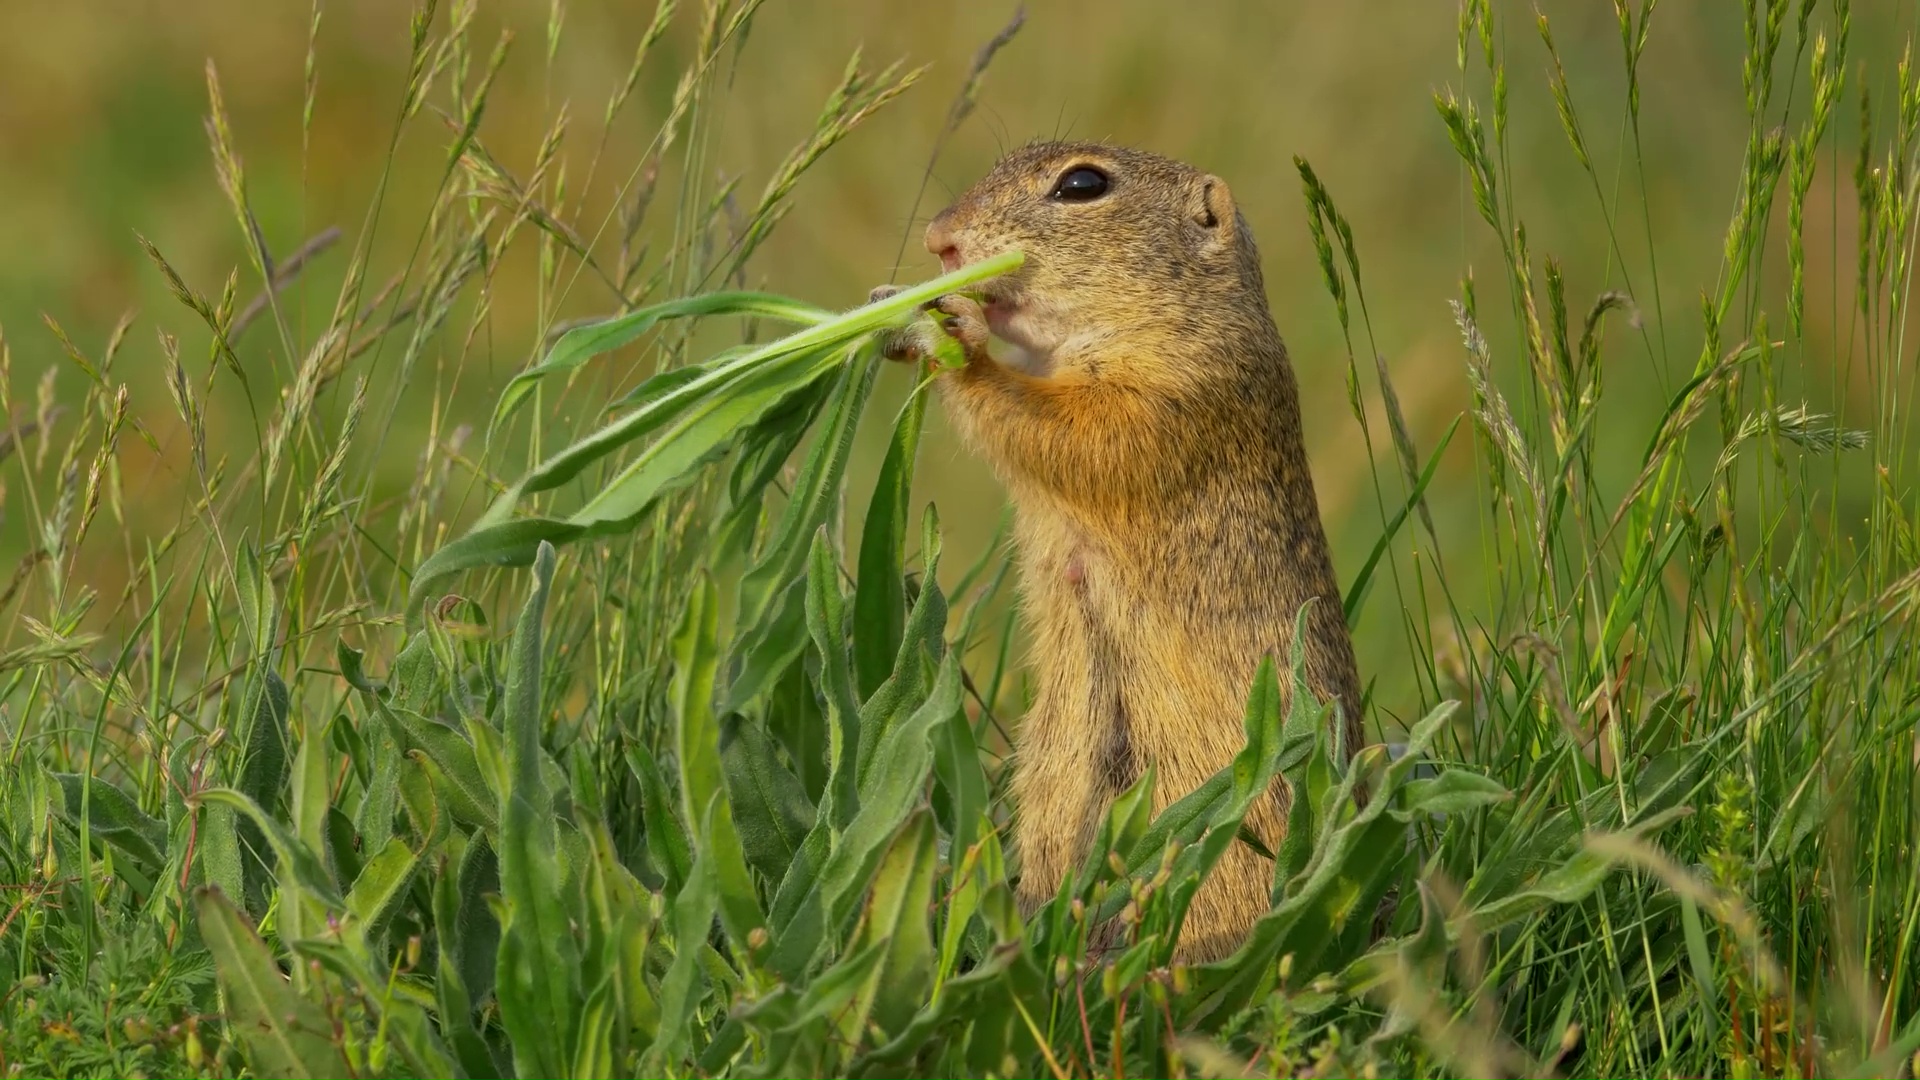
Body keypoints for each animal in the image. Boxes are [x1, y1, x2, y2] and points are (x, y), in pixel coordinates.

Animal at [871, 141, 1363, 962]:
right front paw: (900, 304)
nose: (940, 240)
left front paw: (950, 331)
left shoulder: (1178, 398)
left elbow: (1068, 430)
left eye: (1082, 184)